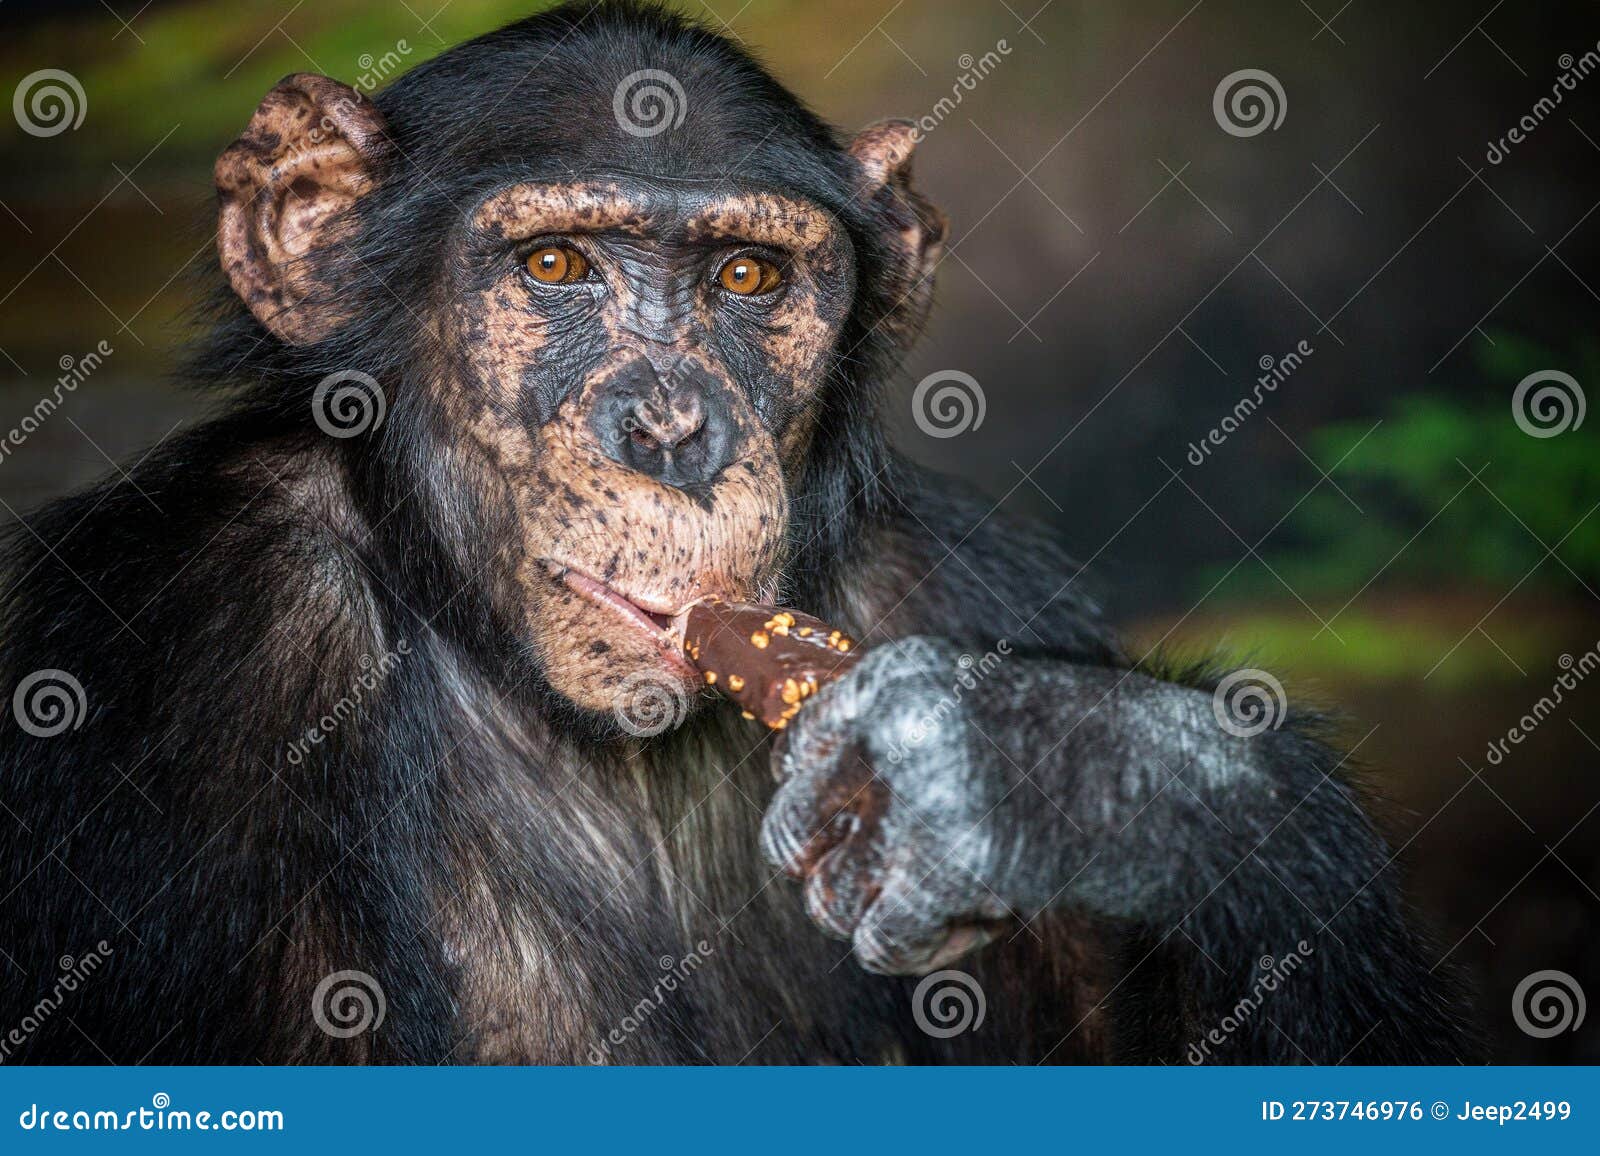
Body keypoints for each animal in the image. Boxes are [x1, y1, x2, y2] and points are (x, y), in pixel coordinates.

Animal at [0, 0, 1476, 1064]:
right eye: (555, 266)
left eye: (748, 277)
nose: (672, 424)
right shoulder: (170, 650)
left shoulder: (946, 588)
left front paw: (1058, 772)